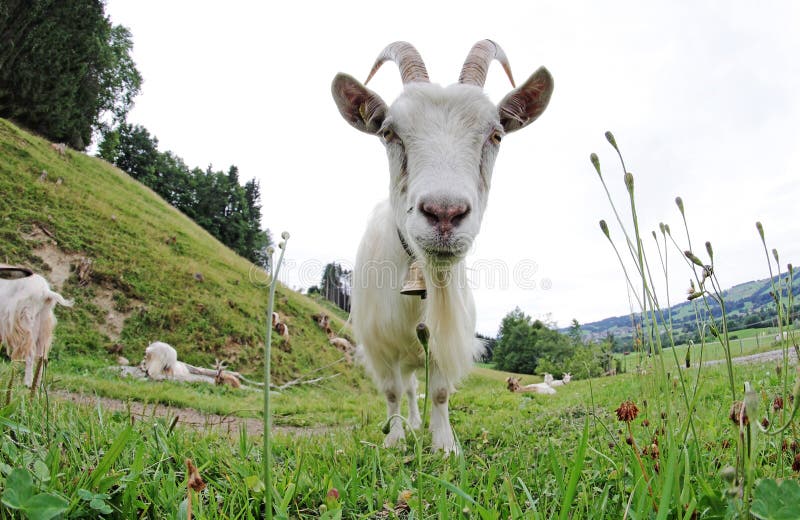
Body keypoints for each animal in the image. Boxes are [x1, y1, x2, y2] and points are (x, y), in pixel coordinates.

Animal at [333, 41, 553, 452]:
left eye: (496, 135)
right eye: (388, 132)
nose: (445, 213)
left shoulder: (442, 339)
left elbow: (437, 392)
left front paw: (444, 445)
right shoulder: (378, 344)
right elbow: (391, 392)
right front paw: (395, 440)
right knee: (405, 388)